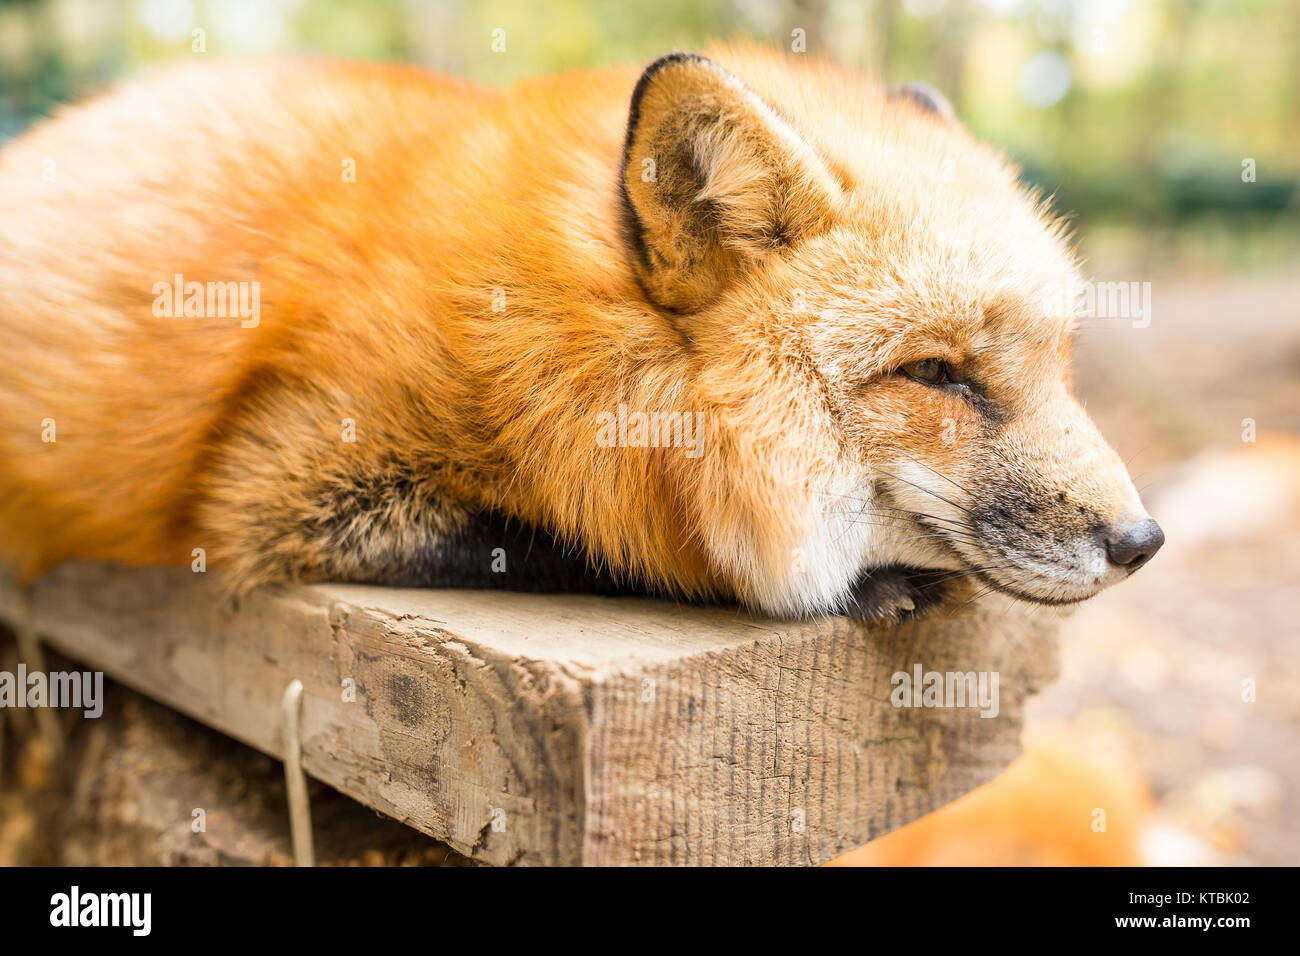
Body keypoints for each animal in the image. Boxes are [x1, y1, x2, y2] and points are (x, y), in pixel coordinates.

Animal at [0, 44, 1163, 621]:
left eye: (1059, 366)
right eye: (933, 372)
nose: (1141, 543)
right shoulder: (274, 488)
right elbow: (587, 549)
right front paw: (839, 584)